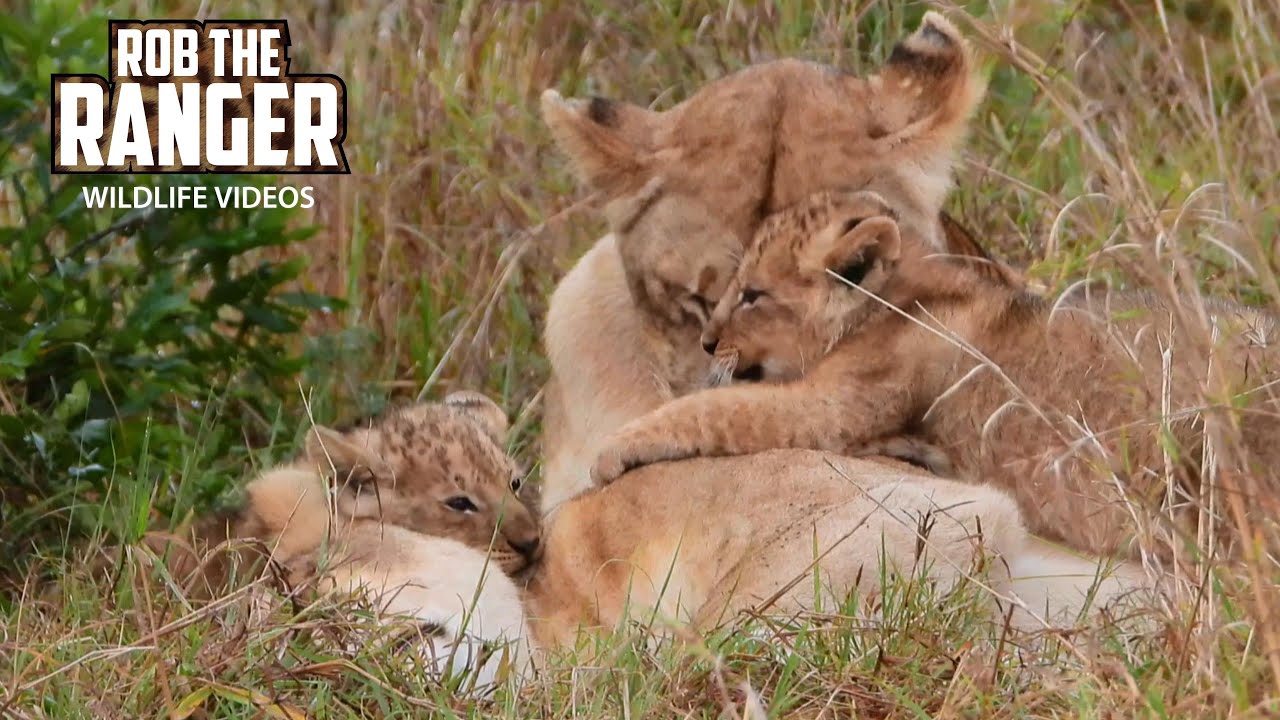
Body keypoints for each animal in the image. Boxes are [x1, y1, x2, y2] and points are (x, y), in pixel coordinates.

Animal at [589, 188, 1280, 560]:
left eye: (754, 295)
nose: (709, 343)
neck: (899, 298)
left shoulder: (838, 406)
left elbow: (716, 411)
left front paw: (612, 451)